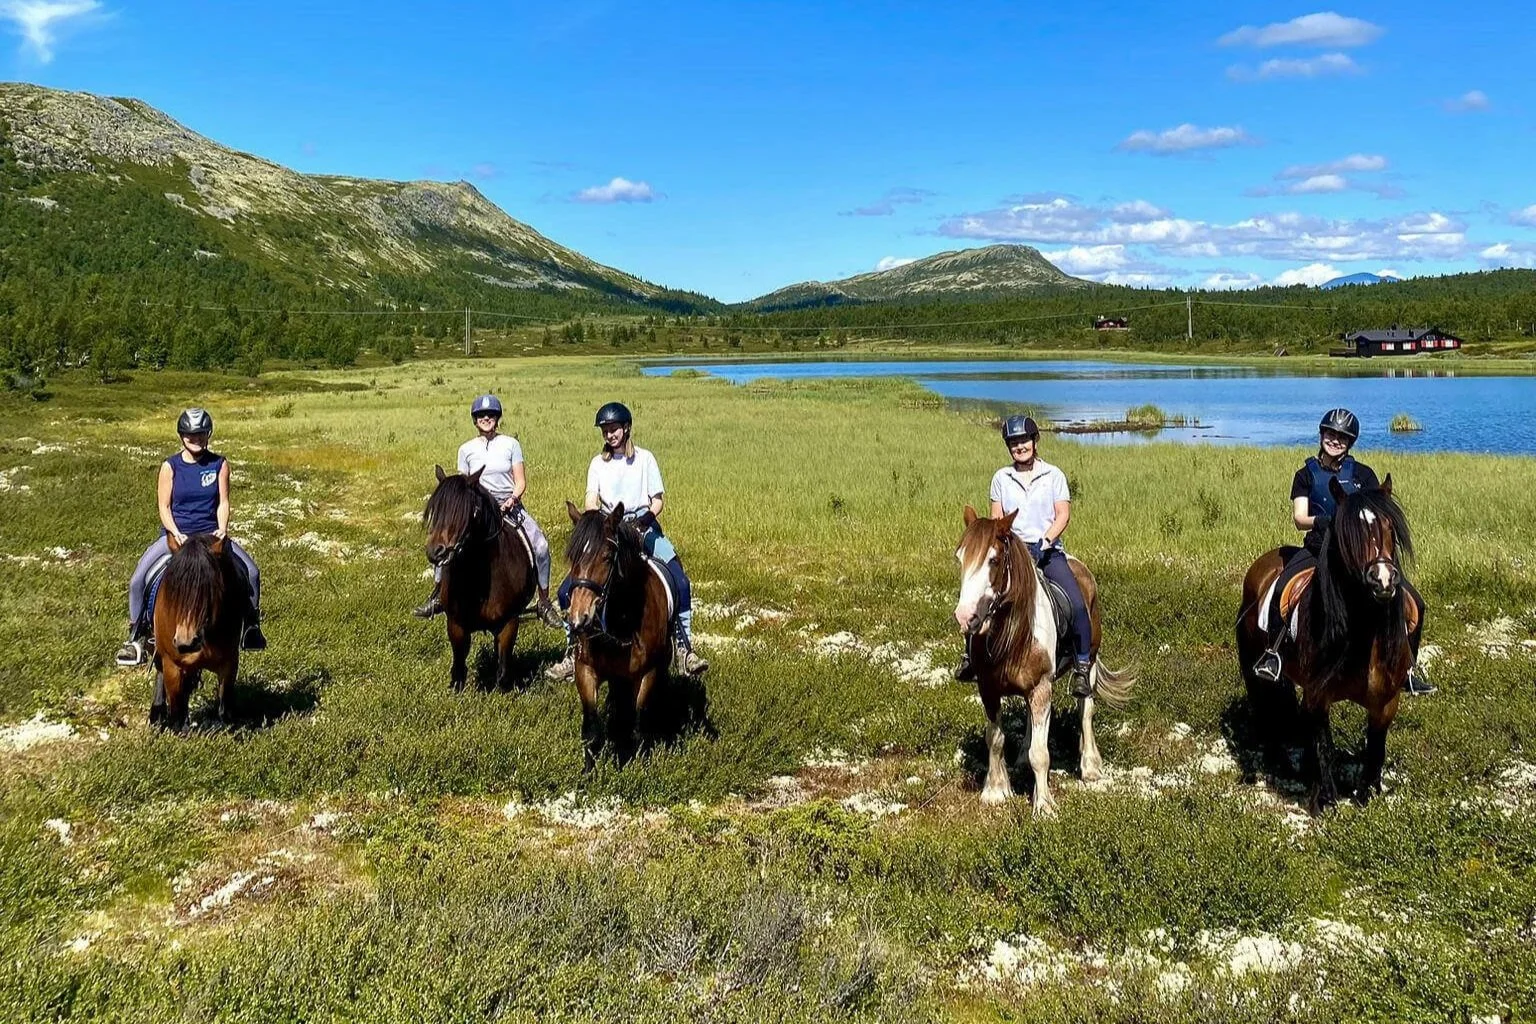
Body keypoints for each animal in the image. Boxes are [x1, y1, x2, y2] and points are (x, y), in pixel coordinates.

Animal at [150, 533, 249, 731]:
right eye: (174, 590)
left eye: (208, 590)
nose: (185, 642)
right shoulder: (172, 665)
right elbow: (177, 713)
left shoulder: (230, 662)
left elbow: (225, 707)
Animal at [423, 465, 537, 691]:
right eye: (436, 510)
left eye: (465, 511)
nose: (435, 552)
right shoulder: (456, 624)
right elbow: (459, 667)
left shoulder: (509, 623)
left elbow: (503, 670)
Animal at [563, 501, 674, 765]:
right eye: (573, 557)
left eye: (606, 557)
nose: (579, 619)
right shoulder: (585, 669)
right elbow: (591, 729)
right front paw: (588, 770)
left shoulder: (647, 674)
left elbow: (638, 724)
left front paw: (641, 764)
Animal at [953, 506, 1135, 812]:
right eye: (960, 558)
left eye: (994, 560)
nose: (965, 617)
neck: (1012, 635)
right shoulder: (988, 689)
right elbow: (995, 738)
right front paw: (995, 790)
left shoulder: (1041, 687)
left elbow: (1041, 752)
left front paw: (1044, 806)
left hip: (1090, 661)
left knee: (1086, 711)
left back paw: (1090, 767)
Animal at [1237, 475, 1419, 814]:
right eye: (1348, 533)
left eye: (1389, 527)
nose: (1383, 581)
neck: (1363, 635)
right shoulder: (1318, 693)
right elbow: (1325, 744)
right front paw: (1326, 800)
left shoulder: (1386, 702)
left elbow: (1375, 748)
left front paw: (1368, 795)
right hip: (1254, 667)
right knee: (1264, 710)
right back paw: (1276, 763)